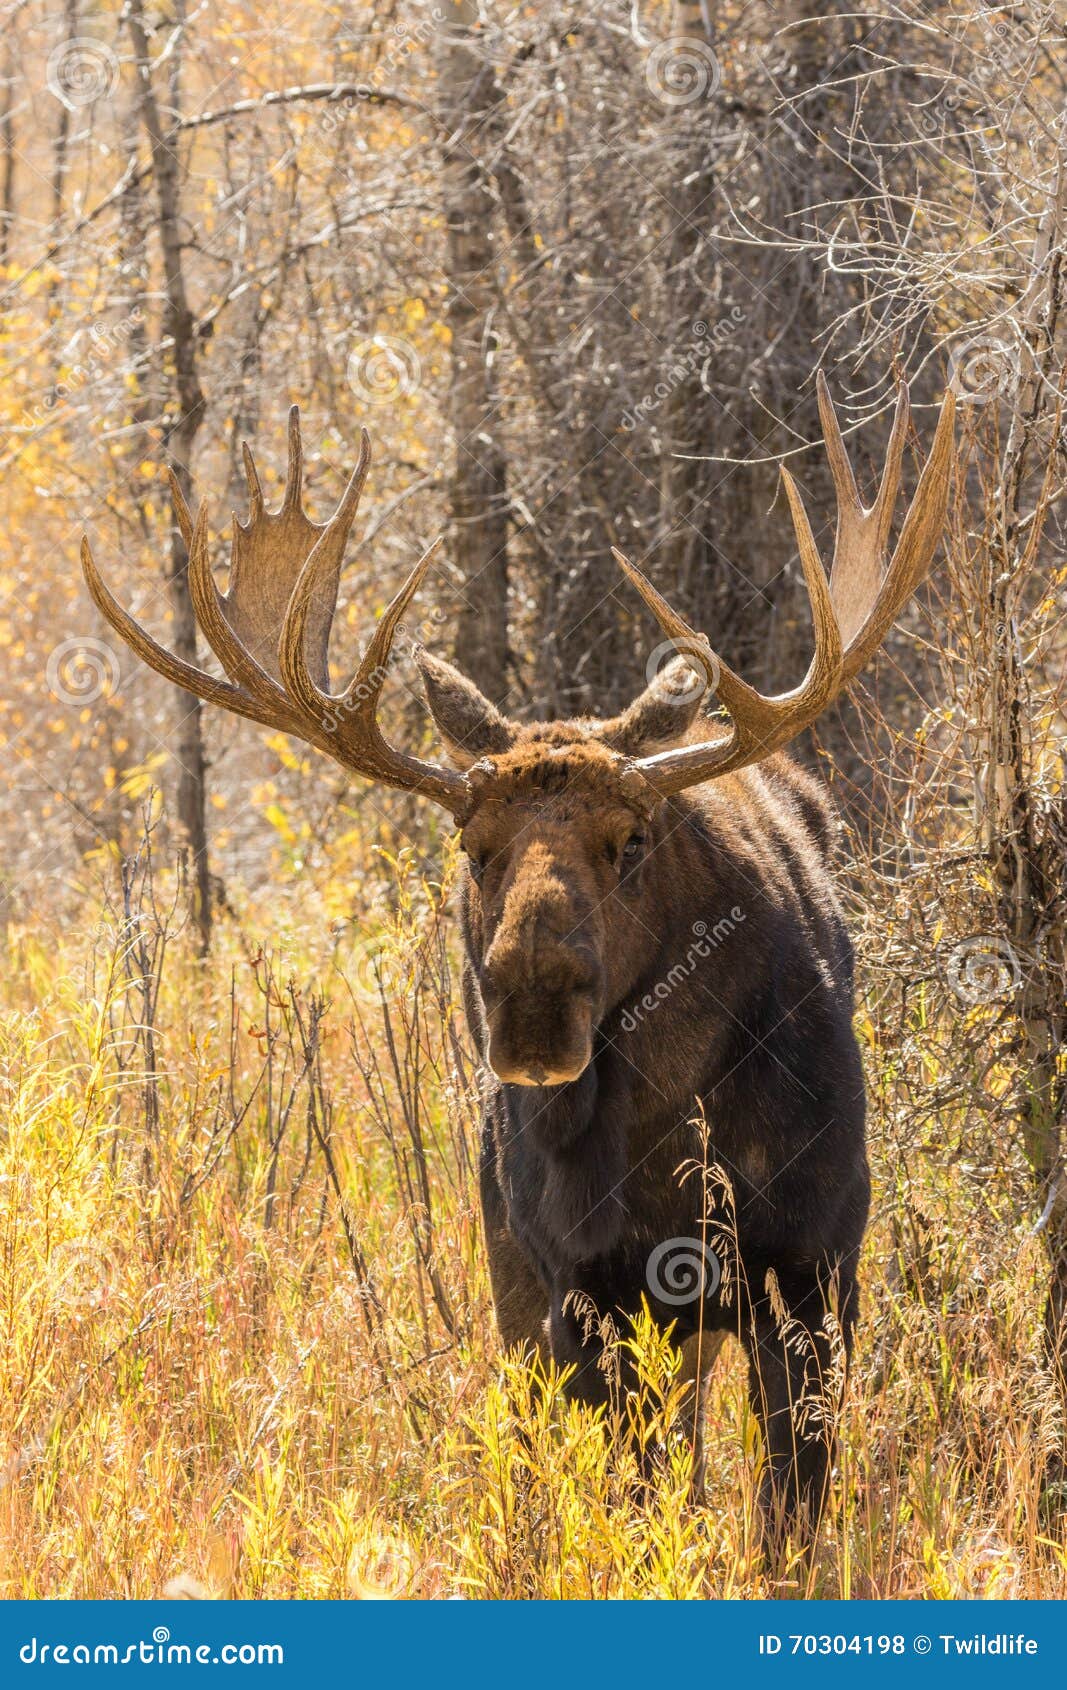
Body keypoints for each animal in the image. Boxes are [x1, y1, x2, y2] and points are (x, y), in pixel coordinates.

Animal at [83, 376, 955, 1553]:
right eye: (471, 844)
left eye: (631, 838)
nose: (532, 1003)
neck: (666, 1133)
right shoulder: (572, 1289)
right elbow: (630, 1497)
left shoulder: (814, 1265)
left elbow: (788, 1520)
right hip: (518, 1276)